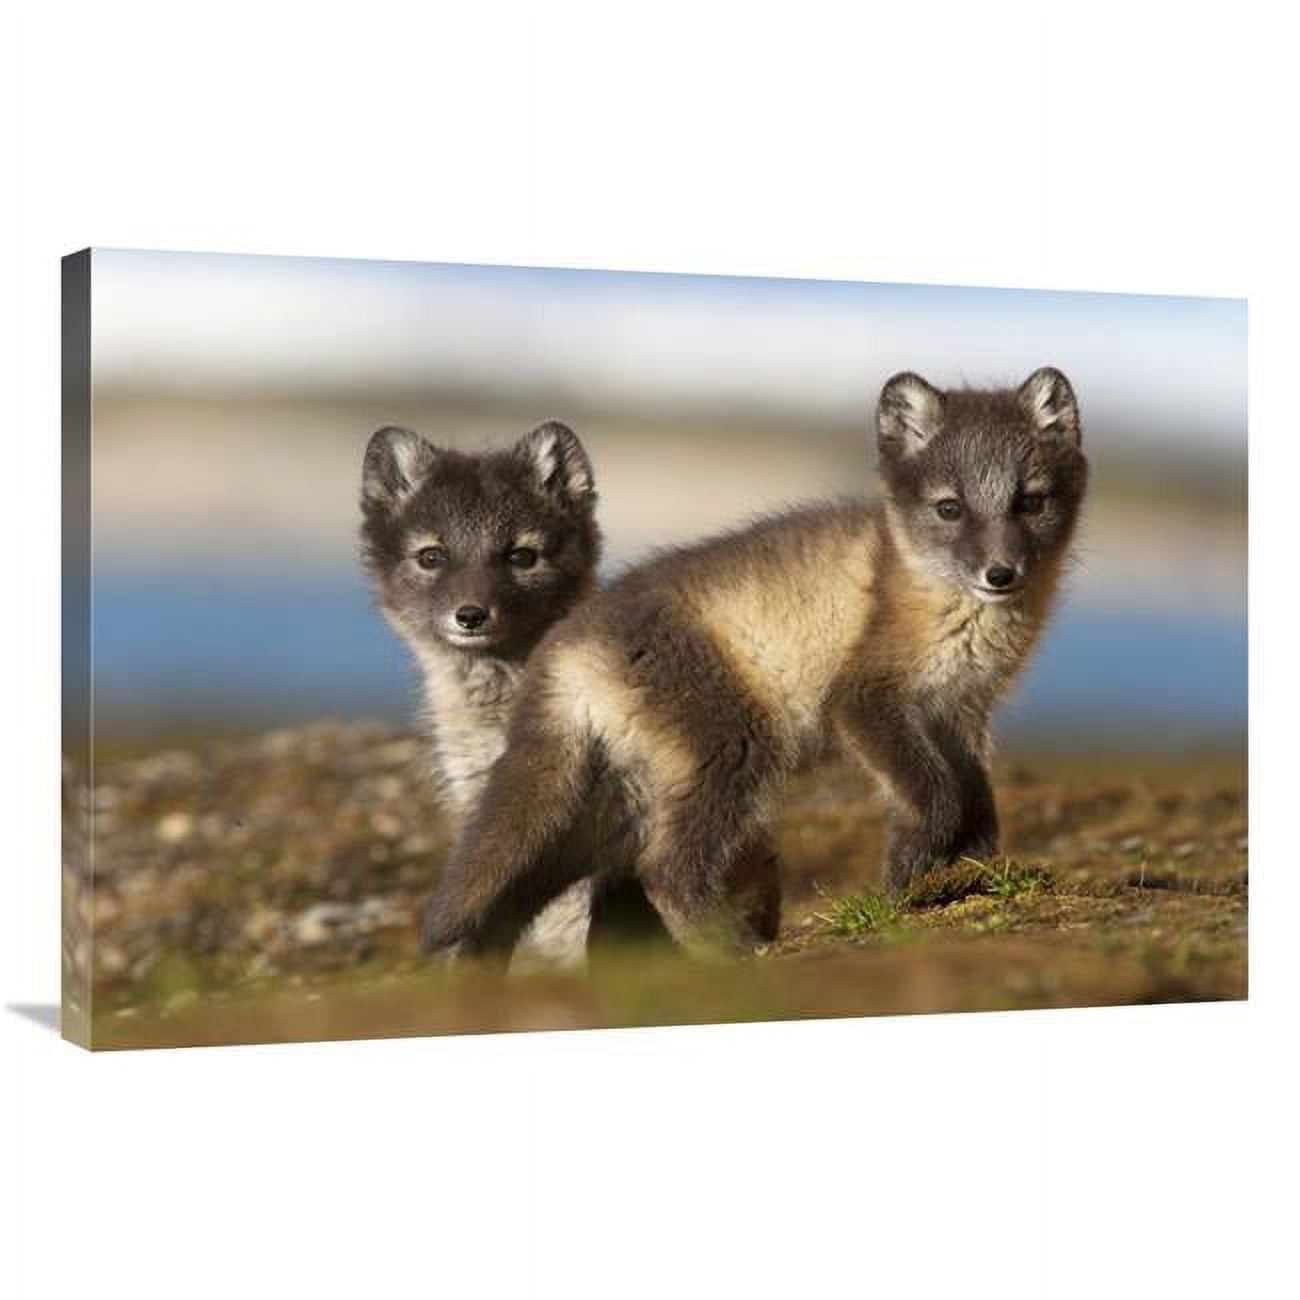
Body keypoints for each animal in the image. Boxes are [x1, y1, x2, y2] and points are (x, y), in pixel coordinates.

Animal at [419, 367, 1088, 960]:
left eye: (1030, 502)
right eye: (950, 509)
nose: (1000, 573)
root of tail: (563, 644)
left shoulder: (962, 709)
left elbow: (976, 799)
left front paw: (967, 876)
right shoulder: (867, 698)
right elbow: (937, 795)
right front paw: (908, 878)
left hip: (609, 804)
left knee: (531, 886)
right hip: (733, 745)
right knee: (664, 867)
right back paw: (730, 947)